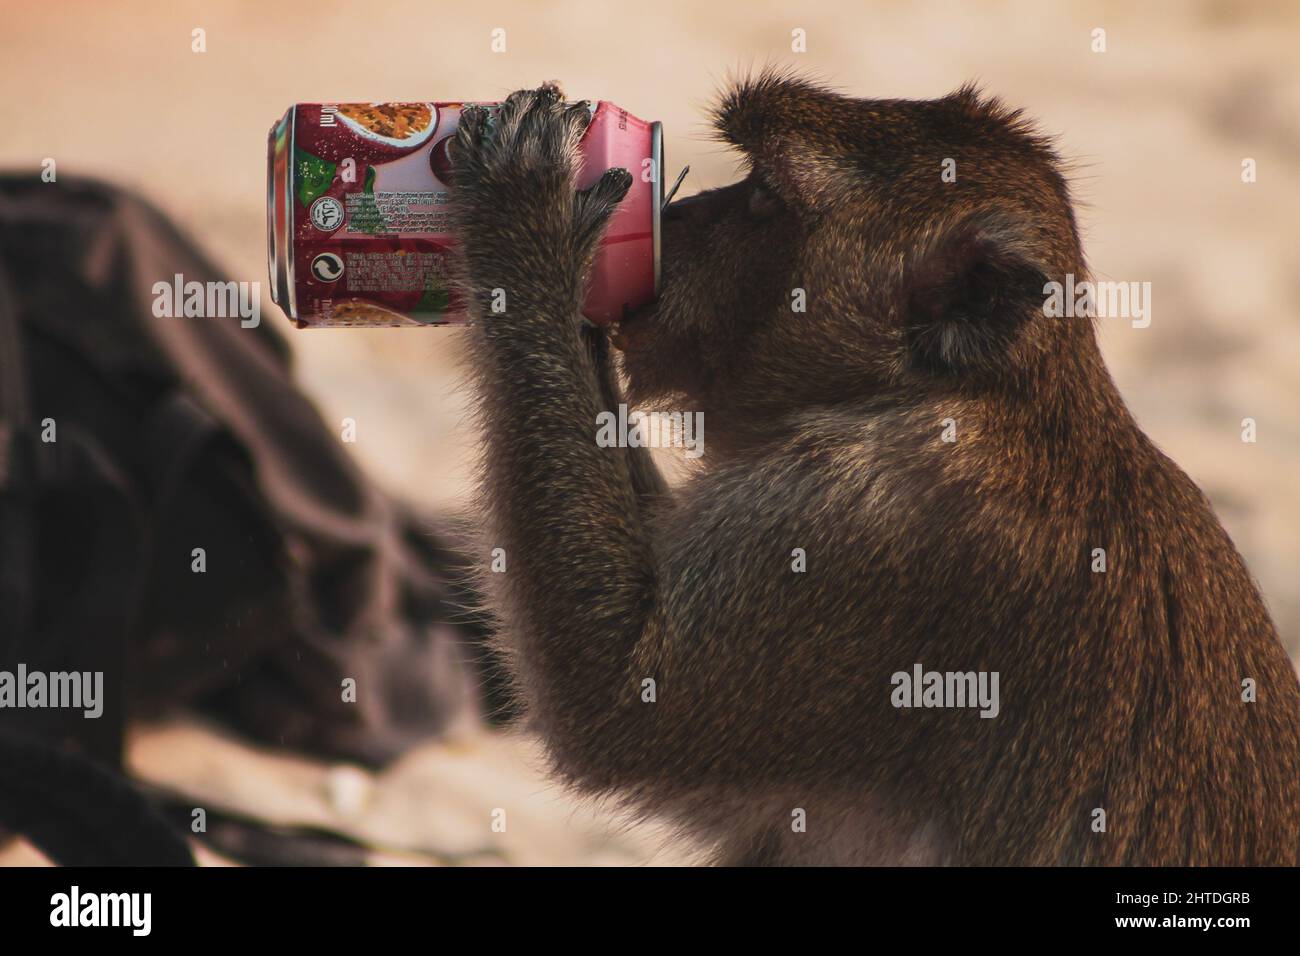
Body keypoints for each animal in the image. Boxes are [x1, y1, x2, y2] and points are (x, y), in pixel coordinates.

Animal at [449, 74, 1300, 866]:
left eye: (763, 198)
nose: (673, 219)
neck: (967, 393)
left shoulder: (868, 517)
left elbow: (609, 707)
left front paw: (532, 219)